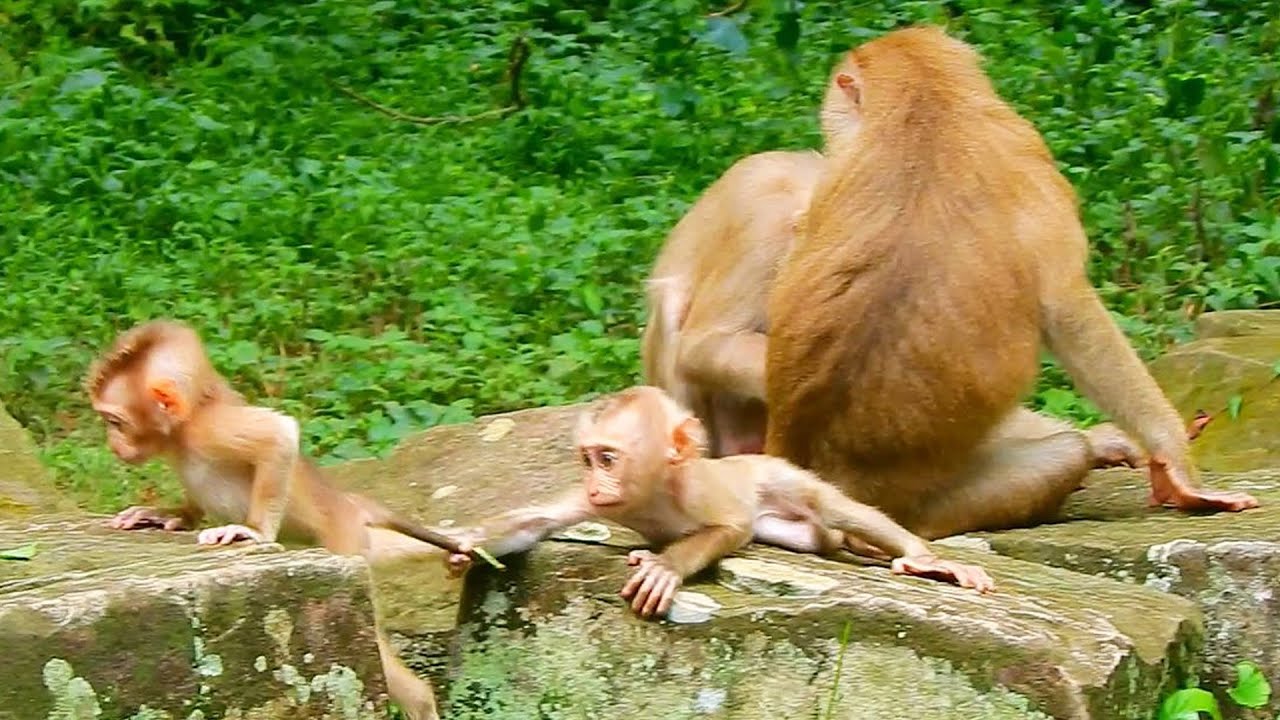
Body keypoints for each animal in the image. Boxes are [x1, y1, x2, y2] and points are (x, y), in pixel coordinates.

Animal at [85, 320, 480, 720]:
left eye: (115, 421)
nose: (112, 445)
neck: (183, 429)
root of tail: (349, 504)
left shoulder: (208, 429)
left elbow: (278, 434)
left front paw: (253, 532)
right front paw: (170, 514)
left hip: (344, 542)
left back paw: (419, 698)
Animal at [445, 386, 995, 620]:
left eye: (608, 458)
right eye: (587, 460)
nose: (597, 483)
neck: (654, 491)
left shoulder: (698, 491)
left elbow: (729, 527)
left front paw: (664, 568)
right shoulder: (597, 505)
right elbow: (537, 520)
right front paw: (468, 544)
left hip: (775, 475)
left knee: (830, 509)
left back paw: (922, 556)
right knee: (816, 534)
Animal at [763, 25, 1258, 540]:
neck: (926, 103)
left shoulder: (828, 183)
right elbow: (1073, 316)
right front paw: (1176, 459)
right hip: (930, 507)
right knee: (1065, 453)